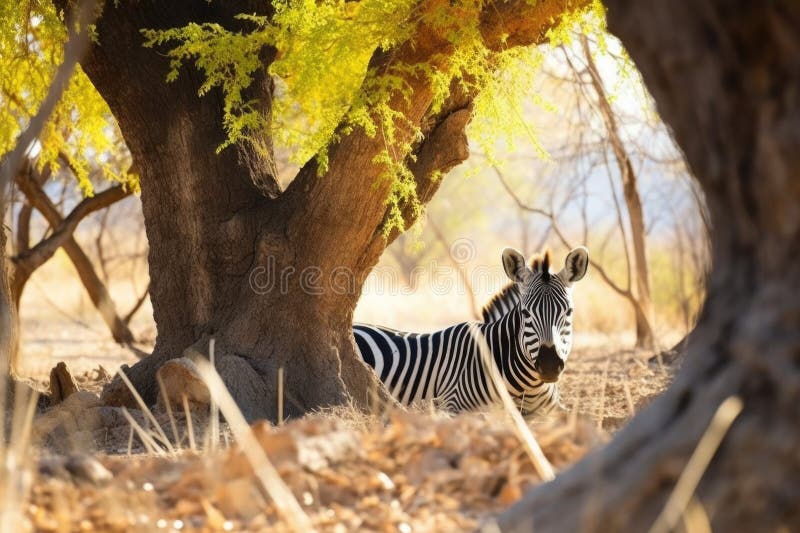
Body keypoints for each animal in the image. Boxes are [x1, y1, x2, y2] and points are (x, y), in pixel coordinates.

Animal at [353, 246, 589, 414]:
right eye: (525, 313)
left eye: (569, 312)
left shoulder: (555, 409)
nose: (549, 366)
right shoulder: (451, 404)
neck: (530, 388)